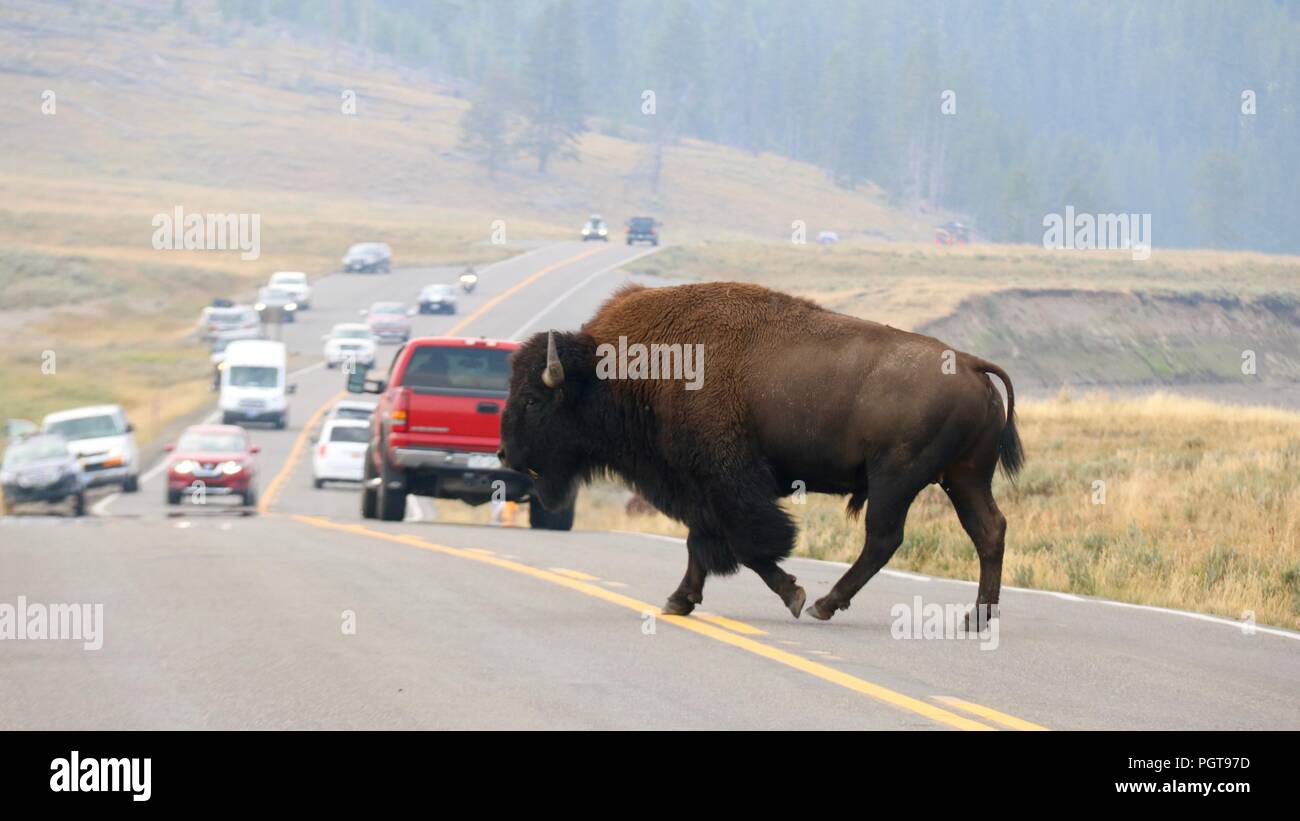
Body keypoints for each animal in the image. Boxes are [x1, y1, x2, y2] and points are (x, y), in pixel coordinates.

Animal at [499, 282, 1022, 623]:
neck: (624, 369)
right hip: (963, 477)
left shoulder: (727, 483)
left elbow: (748, 544)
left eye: (533, 399)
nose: (505, 454)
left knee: (884, 538)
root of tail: (971, 365)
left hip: (898, 478)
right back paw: (977, 617)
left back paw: (824, 605)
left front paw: (794, 594)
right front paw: (679, 600)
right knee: (988, 531)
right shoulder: (699, 487)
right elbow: (702, 542)